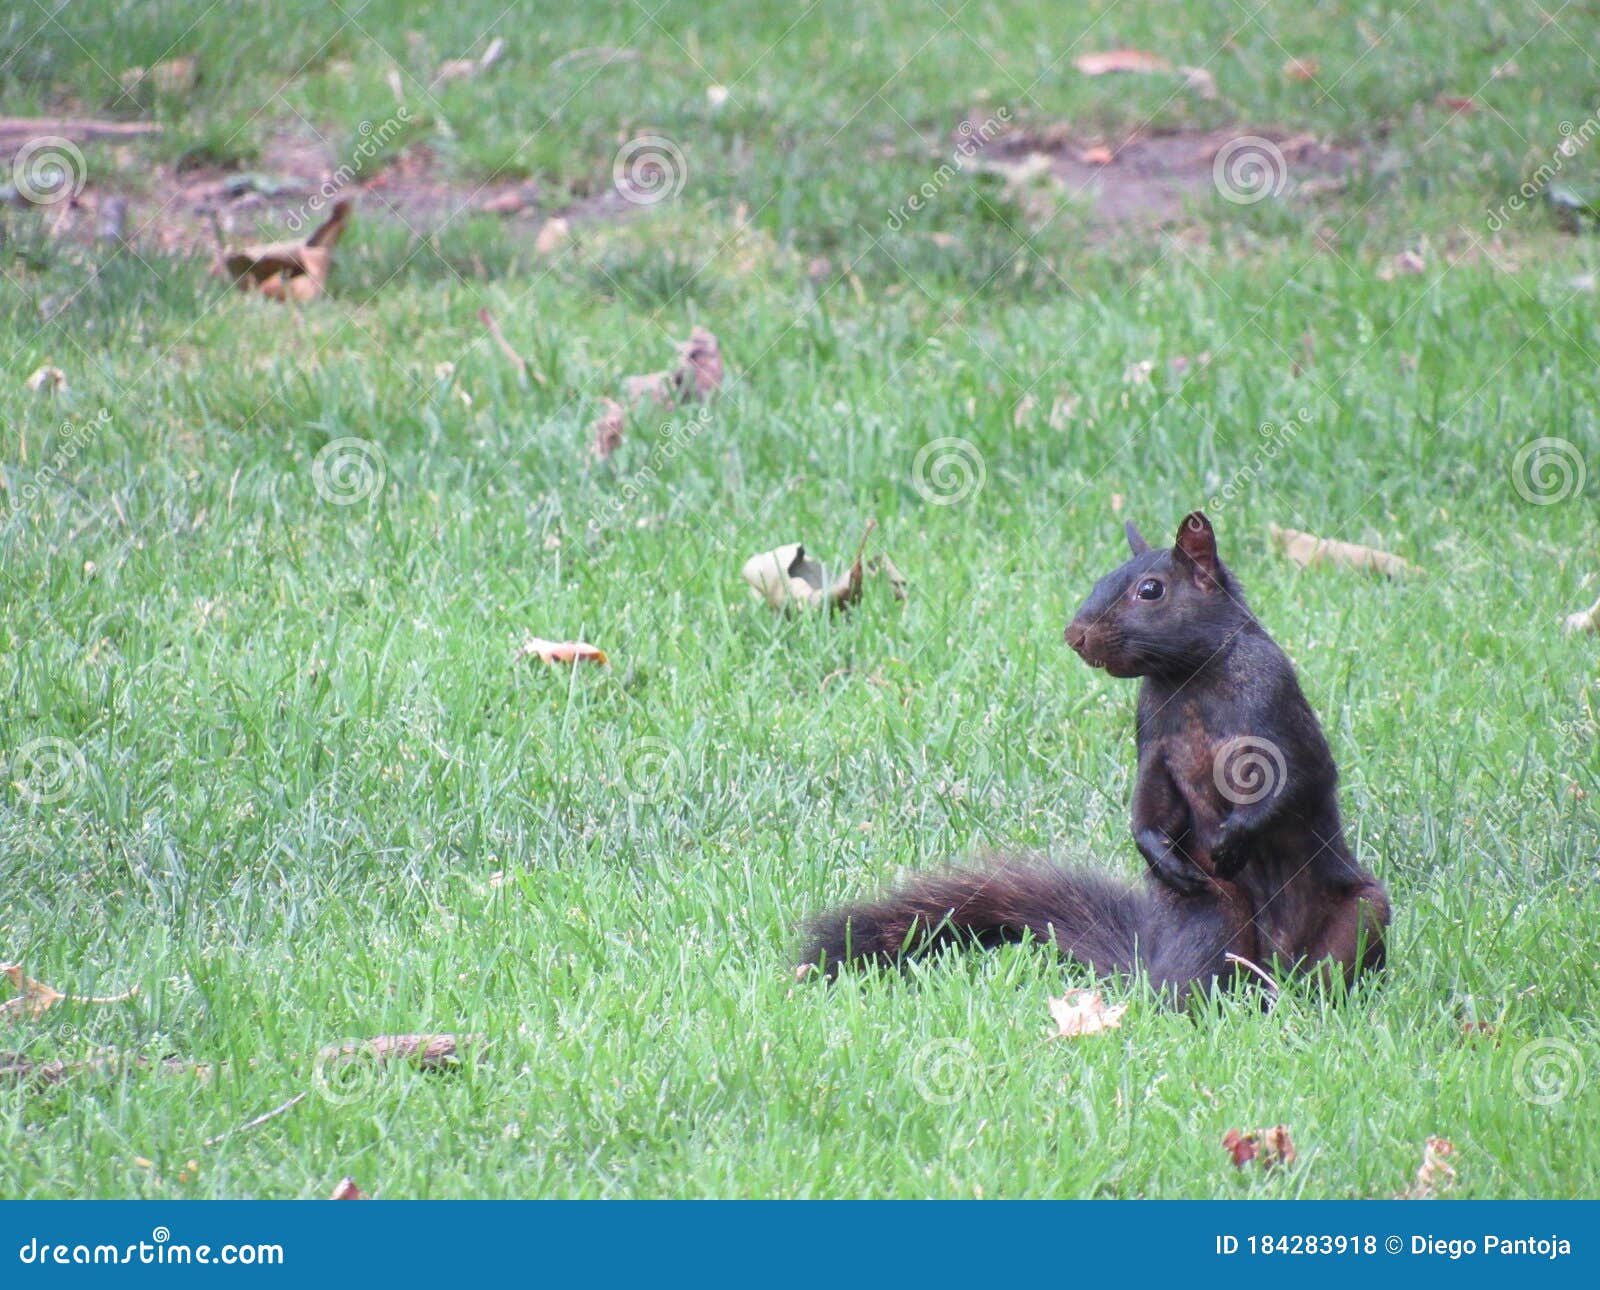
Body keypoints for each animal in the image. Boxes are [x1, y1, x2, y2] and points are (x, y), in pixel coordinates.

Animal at [800, 511, 1390, 1004]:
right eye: (1101, 579)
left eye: (1150, 590)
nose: (1074, 635)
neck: (1191, 677)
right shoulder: (1154, 741)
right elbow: (1150, 799)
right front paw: (1155, 848)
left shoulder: (1276, 711)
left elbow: (1297, 782)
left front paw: (1234, 838)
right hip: (1212, 915)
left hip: (1359, 916)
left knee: (1329, 967)